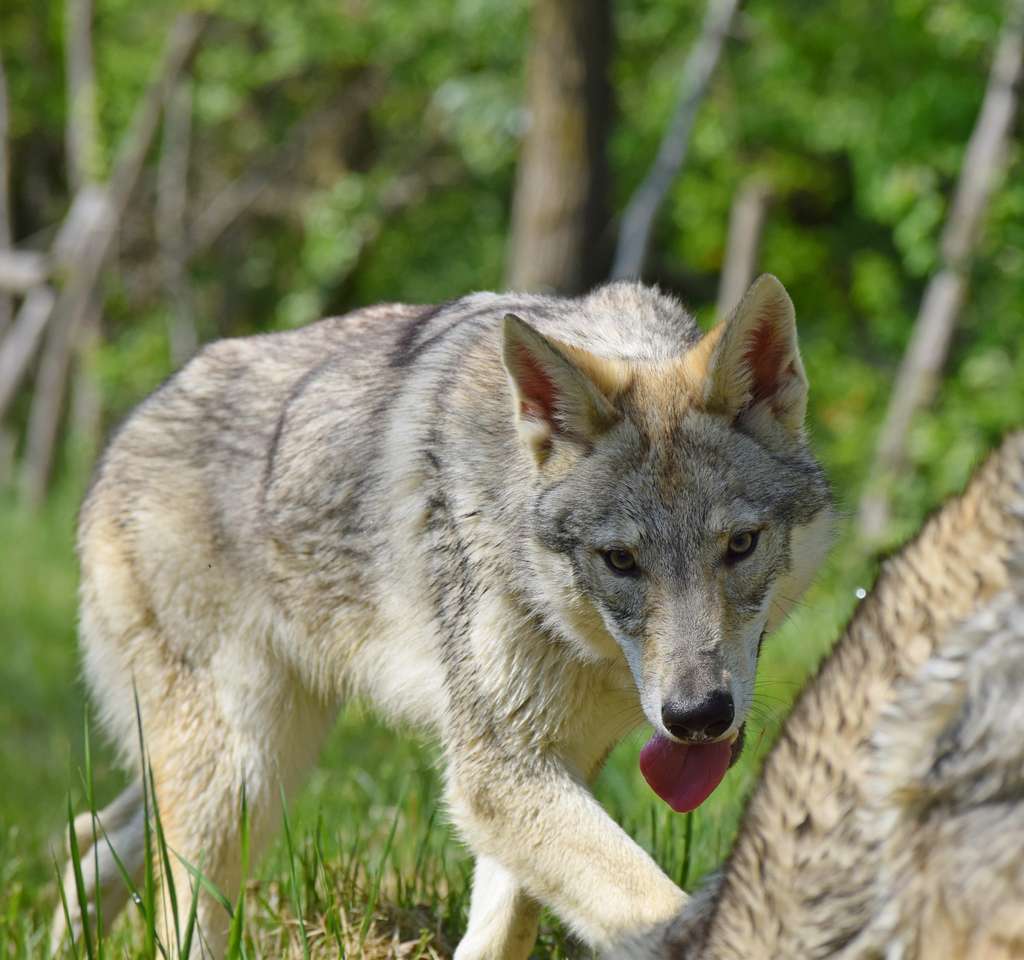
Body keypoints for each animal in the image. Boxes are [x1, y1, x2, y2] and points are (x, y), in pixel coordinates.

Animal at [51, 274, 831, 958]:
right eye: (619, 561)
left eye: (740, 546)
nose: (697, 717)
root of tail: (122, 435)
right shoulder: (495, 774)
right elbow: (654, 908)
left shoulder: (545, 768)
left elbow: (500, 933)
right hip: (246, 775)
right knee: (168, 898)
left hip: (261, 763)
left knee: (95, 839)